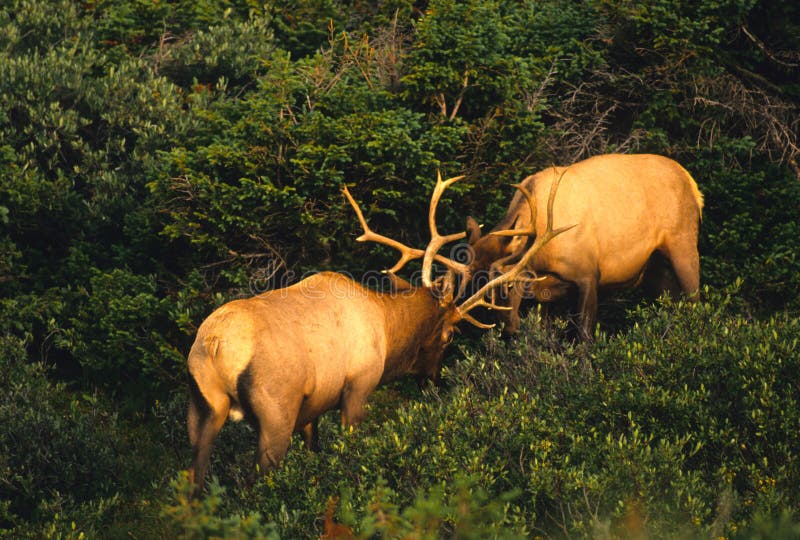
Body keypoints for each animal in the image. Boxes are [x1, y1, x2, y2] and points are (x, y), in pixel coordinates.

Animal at [186, 172, 574, 495]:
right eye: (449, 335)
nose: (434, 381)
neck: (386, 330)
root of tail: (215, 346)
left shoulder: (313, 407)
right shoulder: (358, 385)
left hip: (203, 407)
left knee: (193, 479)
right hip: (274, 410)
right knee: (257, 479)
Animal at [465, 153, 704, 340]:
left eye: (510, 284)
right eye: (478, 288)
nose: (509, 329)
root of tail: (693, 185)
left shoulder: (588, 274)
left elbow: (585, 337)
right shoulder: (548, 295)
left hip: (683, 244)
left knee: (695, 302)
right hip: (654, 268)